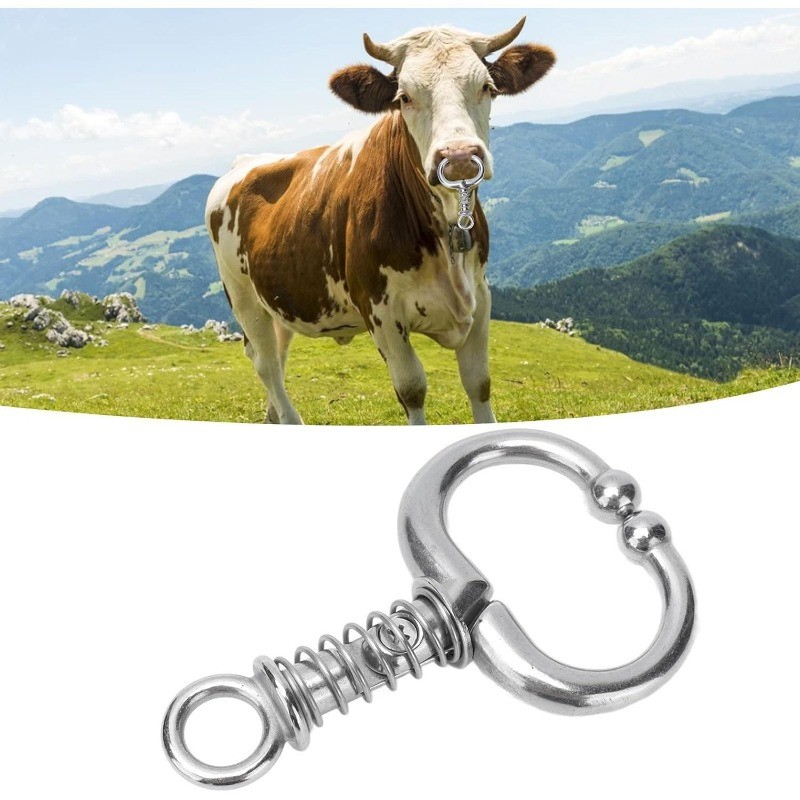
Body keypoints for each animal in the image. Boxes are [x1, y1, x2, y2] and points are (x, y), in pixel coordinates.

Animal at [206, 17, 555, 424]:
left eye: (488, 86)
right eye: (403, 97)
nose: (458, 159)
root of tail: (244, 161)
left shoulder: (481, 296)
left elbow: (479, 382)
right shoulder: (381, 312)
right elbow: (412, 388)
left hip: (277, 299)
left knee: (277, 352)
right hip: (241, 294)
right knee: (265, 362)